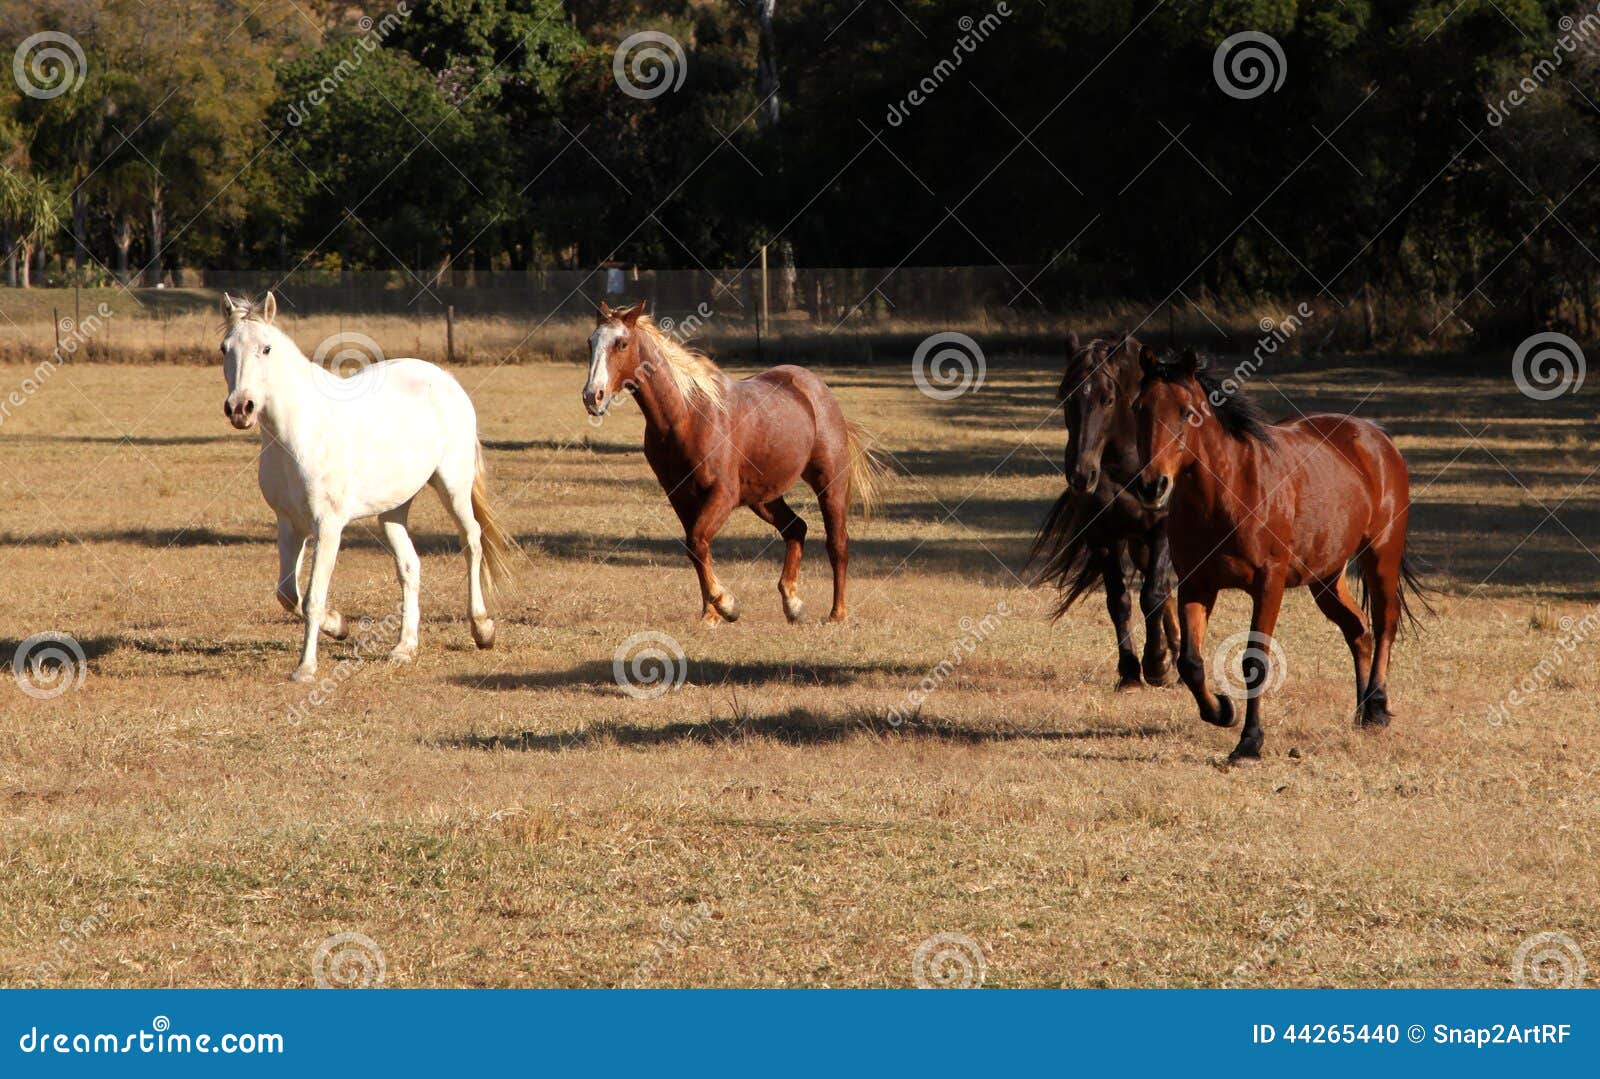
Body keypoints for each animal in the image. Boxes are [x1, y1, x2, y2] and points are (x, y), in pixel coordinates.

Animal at [219, 292, 515, 681]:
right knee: (409, 567)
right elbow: (288, 594)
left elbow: (312, 598)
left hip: (453, 488)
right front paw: (339, 625)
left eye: (266, 349)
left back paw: (481, 628)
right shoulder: (290, 525)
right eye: (225, 349)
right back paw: (405, 647)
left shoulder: (328, 527)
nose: (241, 408)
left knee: (472, 542)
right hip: (393, 510)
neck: (300, 432)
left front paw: (306, 668)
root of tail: (443, 378)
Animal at [582, 301, 887, 624]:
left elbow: (698, 541)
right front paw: (710, 614)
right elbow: (695, 547)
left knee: (837, 542)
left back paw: (837, 613)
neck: (686, 416)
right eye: (591, 342)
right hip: (763, 498)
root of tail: (817, 390)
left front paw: (727, 605)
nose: (593, 396)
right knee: (796, 528)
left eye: (622, 343)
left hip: (830, 484)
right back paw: (793, 604)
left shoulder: (723, 494)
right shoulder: (681, 497)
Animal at [1030, 332, 1179, 689]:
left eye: (1108, 399)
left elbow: (1151, 594)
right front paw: (1131, 671)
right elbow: (1119, 601)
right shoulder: (1103, 536)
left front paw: (1155, 663)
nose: (1082, 474)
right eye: (1065, 396)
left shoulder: (1162, 529)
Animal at [1131, 347, 1428, 760]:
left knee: (1385, 624)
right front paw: (1221, 710)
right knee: (1359, 630)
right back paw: (1363, 711)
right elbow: (1190, 661)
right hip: (1327, 578)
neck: (1231, 490)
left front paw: (1249, 742)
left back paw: (1379, 708)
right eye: (1137, 407)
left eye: (1188, 413)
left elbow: (1255, 661)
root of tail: (1375, 436)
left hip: (1380, 557)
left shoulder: (1268, 585)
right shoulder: (1196, 585)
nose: (1152, 485)